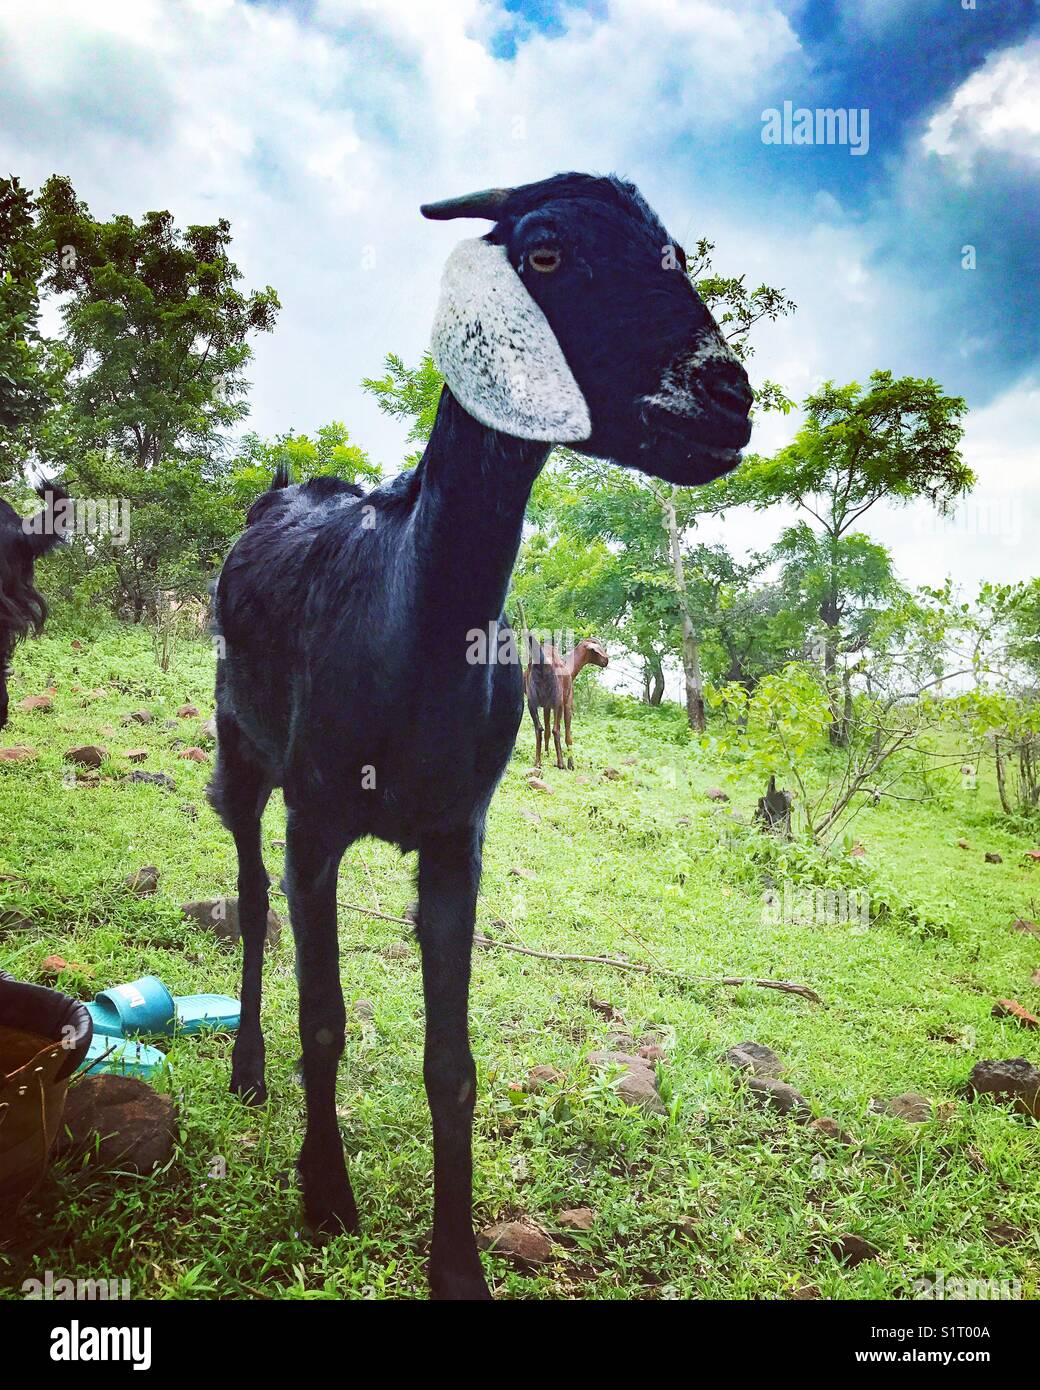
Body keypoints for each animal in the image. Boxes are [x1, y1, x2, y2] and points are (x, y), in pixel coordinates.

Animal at [208, 172, 753, 1300]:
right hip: (240, 752)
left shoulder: (458, 838)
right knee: (250, 894)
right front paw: (326, 1198)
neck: (410, 616)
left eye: (675, 253)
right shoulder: (316, 822)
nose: (727, 394)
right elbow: (324, 1019)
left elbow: (451, 1065)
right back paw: (245, 1069)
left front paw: (456, 1261)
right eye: (542, 255)